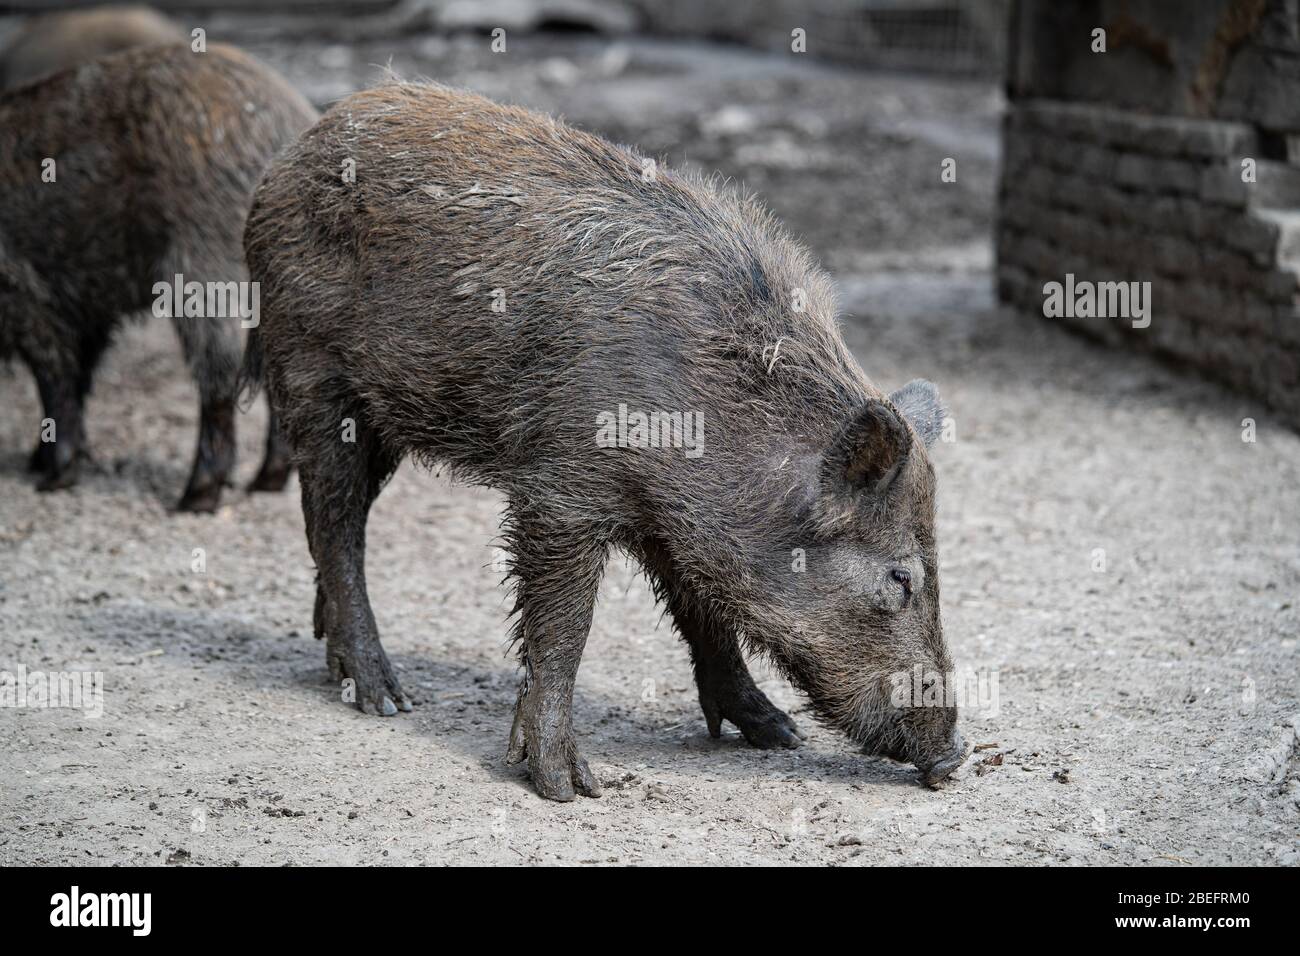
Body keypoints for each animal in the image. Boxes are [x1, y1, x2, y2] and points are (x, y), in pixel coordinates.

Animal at [0, 43, 317, 510]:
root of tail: (291, 123)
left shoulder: (25, 290)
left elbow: (54, 375)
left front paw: (51, 479)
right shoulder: (86, 308)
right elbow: (79, 374)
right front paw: (35, 463)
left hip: (202, 256)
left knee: (218, 368)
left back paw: (193, 499)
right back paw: (264, 483)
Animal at [243, 81, 968, 800]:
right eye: (902, 577)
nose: (955, 758)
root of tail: (300, 146)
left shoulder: (673, 520)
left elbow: (704, 614)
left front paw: (778, 734)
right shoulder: (559, 489)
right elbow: (565, 625)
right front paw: (569, 786)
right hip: (312, 376)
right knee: (334, 521)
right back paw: (387, 698)